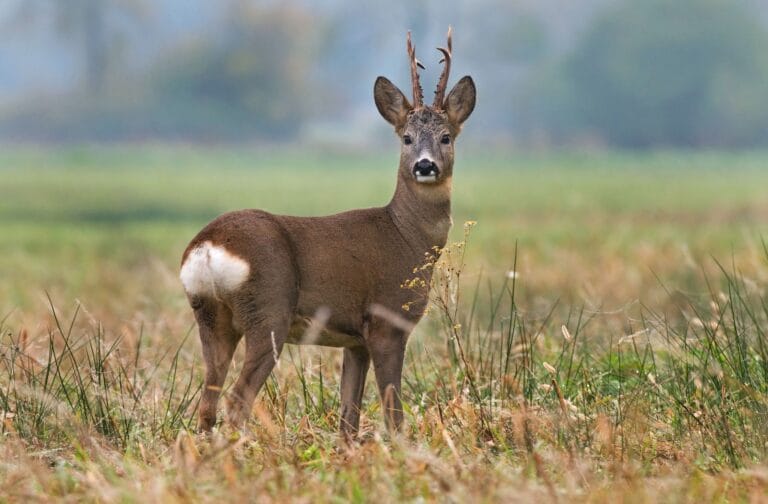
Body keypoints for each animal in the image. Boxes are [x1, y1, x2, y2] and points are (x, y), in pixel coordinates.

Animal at [179, 28, 476, 438]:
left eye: (446, 137)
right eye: (406, 138)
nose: (425, 166)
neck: (406, 236)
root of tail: (208, 246)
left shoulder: (355, 342)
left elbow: (348, 417)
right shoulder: (386, 321)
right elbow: (393, 412)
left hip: (211, 316)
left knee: (207, 403)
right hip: (268, 311)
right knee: (237, 399)